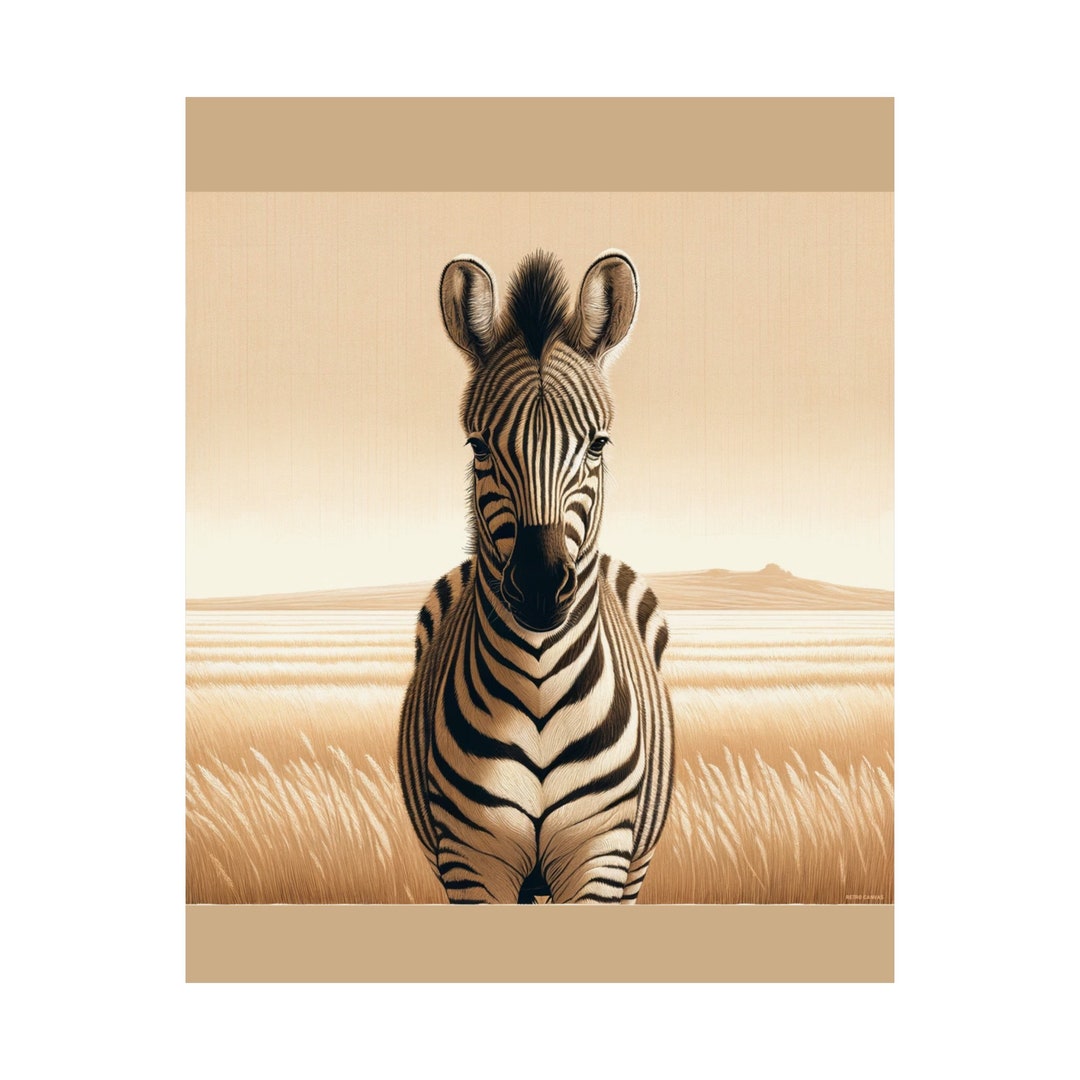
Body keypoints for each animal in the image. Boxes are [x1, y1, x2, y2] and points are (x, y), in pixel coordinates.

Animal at [398, 249, 674, 904]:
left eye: (598, 444)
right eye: (478, 446)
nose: (542, 586)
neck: (541, 688)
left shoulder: (602, 852)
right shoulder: (471, 859)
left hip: (638, 861)